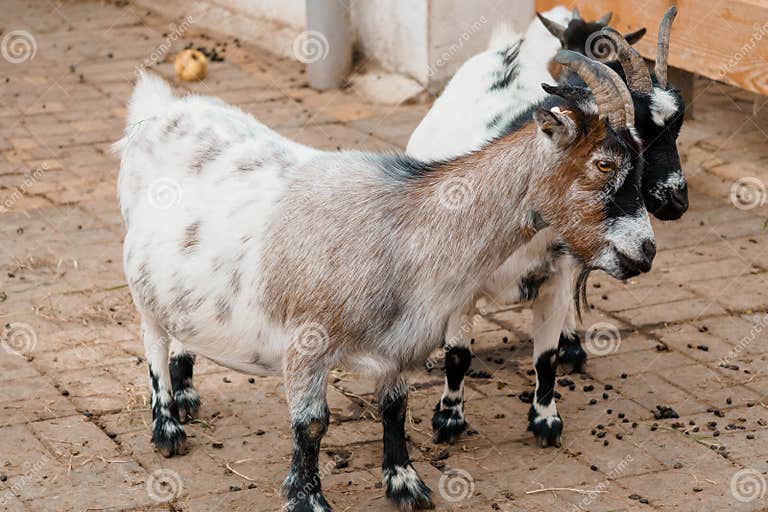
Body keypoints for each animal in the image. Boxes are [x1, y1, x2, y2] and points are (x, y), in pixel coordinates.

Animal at [117, 51, 652, 511]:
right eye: (604, 163)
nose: (645, 251)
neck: (408, 225)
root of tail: (161, 110)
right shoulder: (305, 343)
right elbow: (311, 425)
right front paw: (308, 499)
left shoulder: (400, 344)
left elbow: (394, 408)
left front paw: (405, 484)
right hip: (138, 276)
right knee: (152, 341)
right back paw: (166, 425)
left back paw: (186, 394)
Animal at [408, 8, 684, 447]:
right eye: (603, 163)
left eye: (677, 127)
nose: (676, 201)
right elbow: (458, 355)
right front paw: (448, 420)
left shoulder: (554, 277)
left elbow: (545, 358)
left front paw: (546, 421)